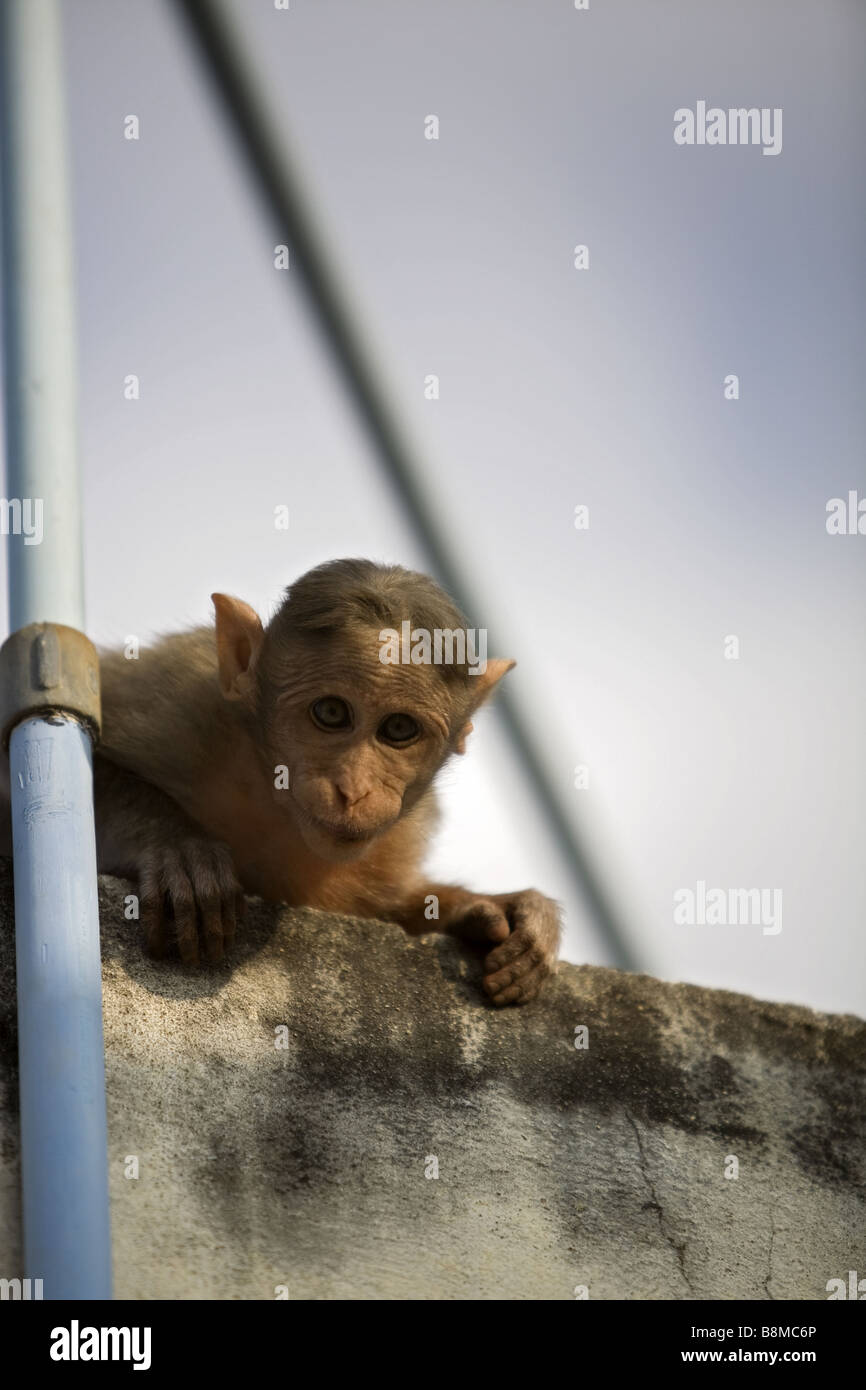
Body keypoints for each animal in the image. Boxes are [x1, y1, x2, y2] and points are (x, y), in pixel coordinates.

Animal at [7, 560, 562, 1005]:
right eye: (331, 713)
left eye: (400, 729)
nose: (354, 789)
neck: (273, 795)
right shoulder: (177, 693)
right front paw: (175, 846)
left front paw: (492, 912)